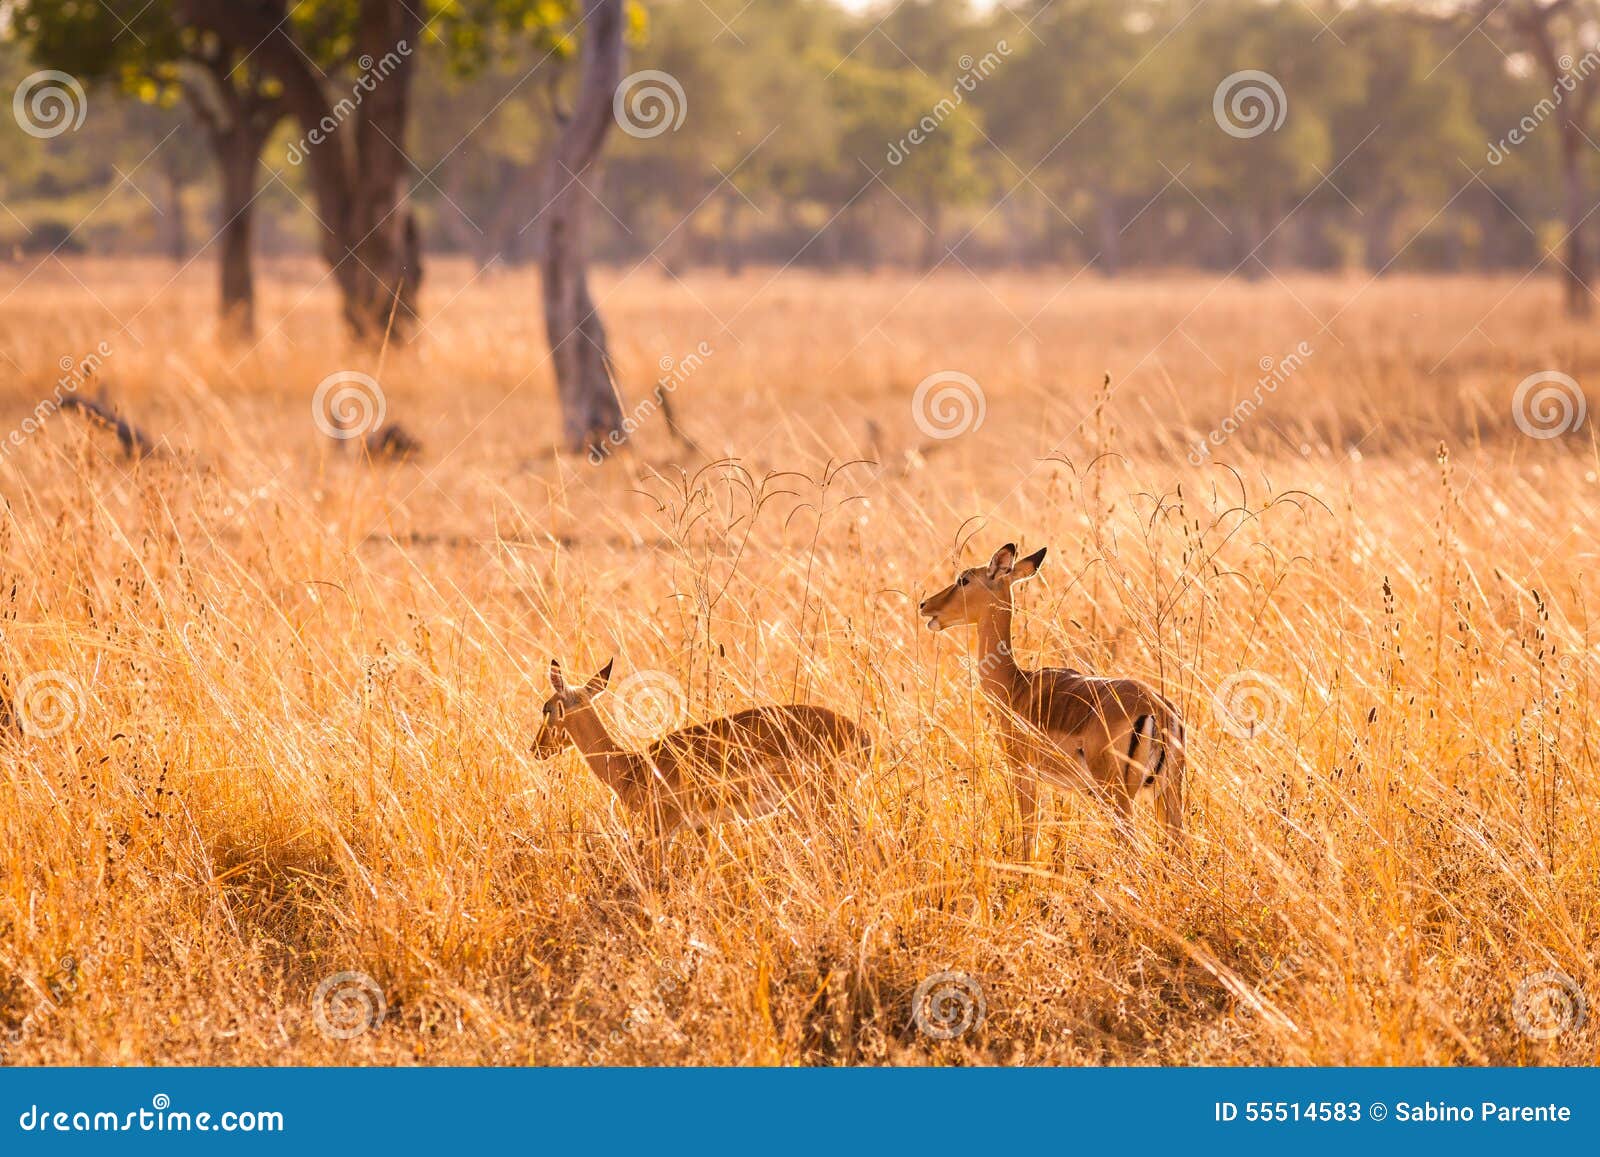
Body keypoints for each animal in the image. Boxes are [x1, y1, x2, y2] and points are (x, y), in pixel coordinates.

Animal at [530, 659, 871, 841]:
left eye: (547, 708)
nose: (536, 749)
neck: (630, 766)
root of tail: (862, 734)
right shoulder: (703, 828)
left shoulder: (661, 830)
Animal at [919, 543, 1185, 857]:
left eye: (964, 579)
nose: (925, 606)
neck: (1016, 684)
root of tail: (1155, 709)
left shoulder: (1024, 773)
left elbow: (1028, 836)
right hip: (1167, 793)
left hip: (1118, 796)